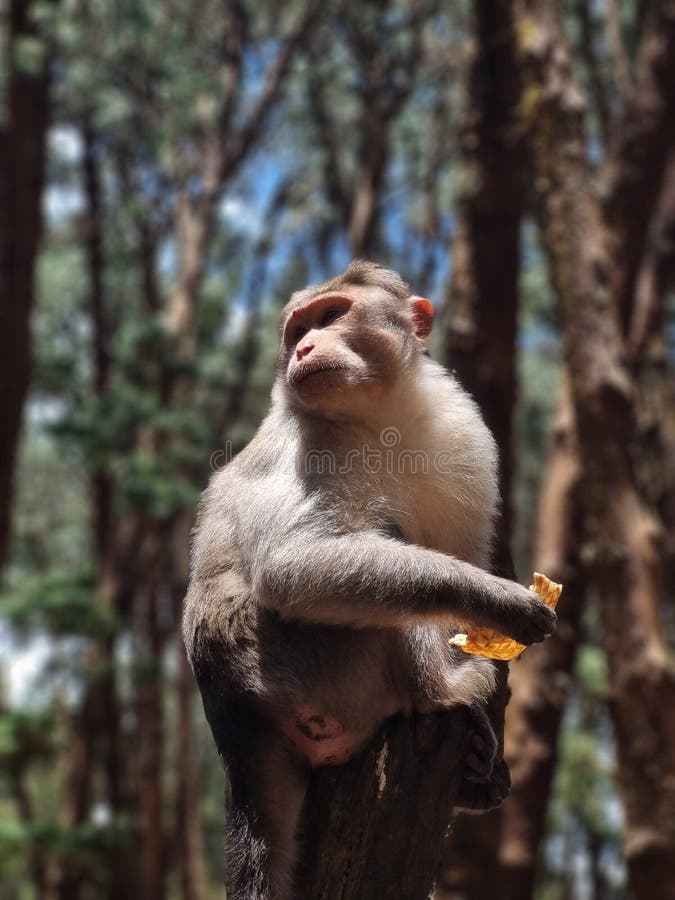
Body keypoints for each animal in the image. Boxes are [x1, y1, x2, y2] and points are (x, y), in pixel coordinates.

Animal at [183, 260, 556, 900]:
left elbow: (461, 550)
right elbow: (289, 570)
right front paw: (497, 602)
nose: (304, 348)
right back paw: (444, 693)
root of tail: (234, 723)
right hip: (305, 668)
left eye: (332, 315)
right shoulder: (311, 443)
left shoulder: (462, 430)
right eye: (298, 330)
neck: (379, 415)